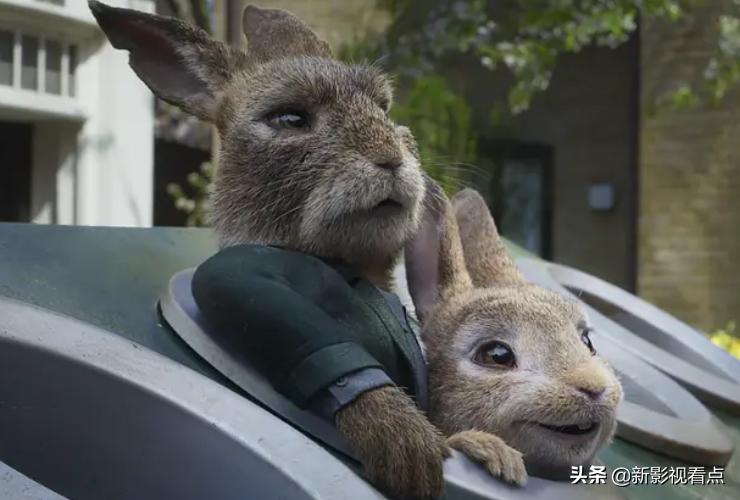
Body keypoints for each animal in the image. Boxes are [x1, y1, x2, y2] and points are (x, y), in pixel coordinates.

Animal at [88, 2, 450, 498]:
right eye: (290, 119)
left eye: (383, 106)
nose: (392, 158)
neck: (345, 265)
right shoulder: (239, 272)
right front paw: (406, 444)